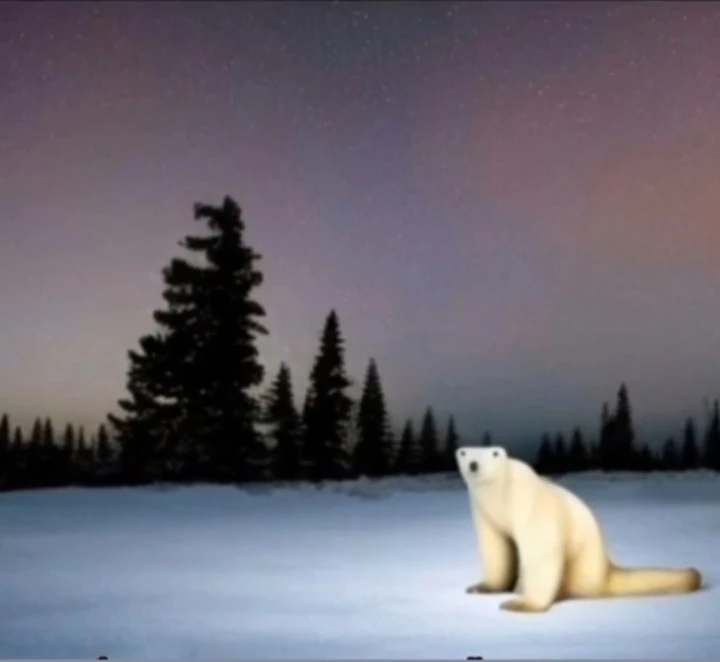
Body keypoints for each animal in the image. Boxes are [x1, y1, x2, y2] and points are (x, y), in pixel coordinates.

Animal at [456, 445, 702, 613]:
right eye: (464, 453)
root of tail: (604, 569)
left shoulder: (529, 504)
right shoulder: (485, 513)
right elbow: (497, 547)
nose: (474, 465)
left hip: (580, 565)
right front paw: (481, 587)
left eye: (492, 454)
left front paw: (520, 602)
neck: (501, 495)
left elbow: (541, 549)